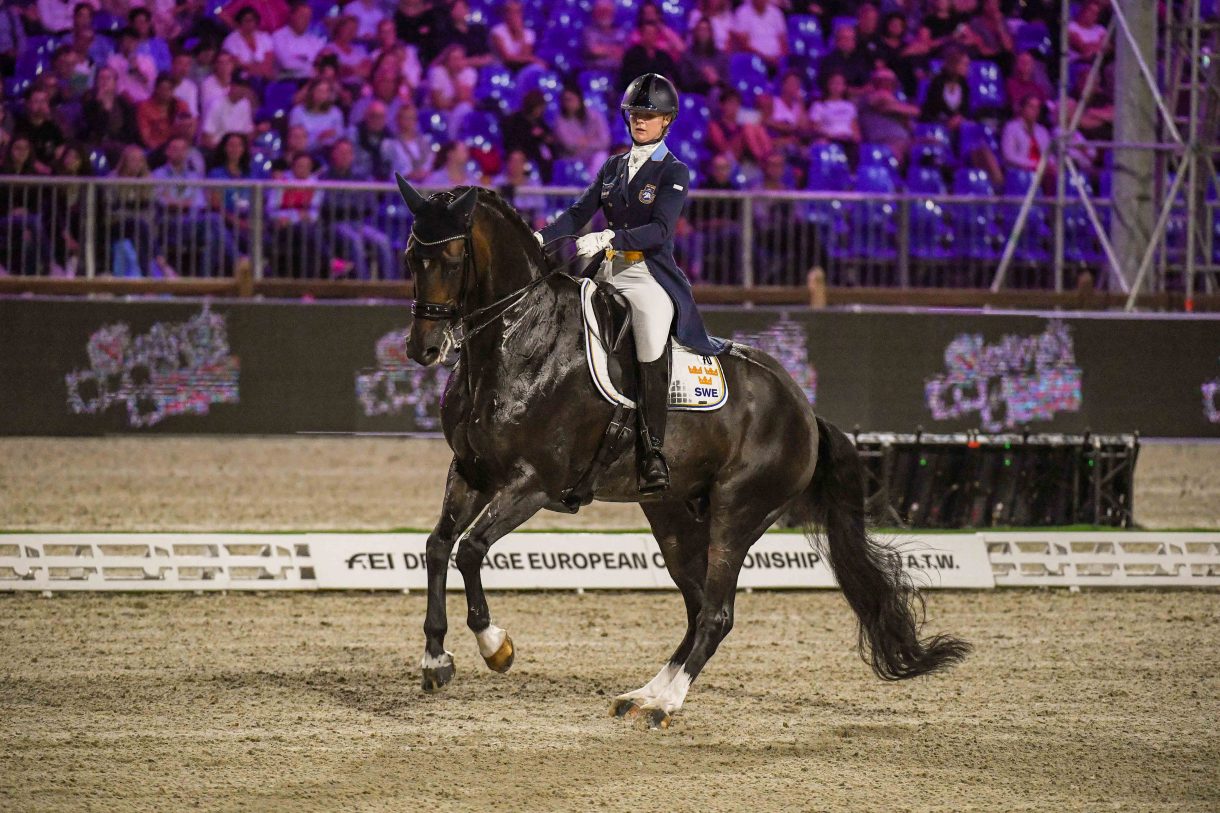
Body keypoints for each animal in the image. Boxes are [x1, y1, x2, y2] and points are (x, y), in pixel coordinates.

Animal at [395, 176, 969, 729]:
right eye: (409, 256)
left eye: (452, 258)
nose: (424, 348)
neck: (519, 340)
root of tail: (804, 411)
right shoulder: (470, 472)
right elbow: (438, 546)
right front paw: (436, 660)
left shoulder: (532, 482)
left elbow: (471, 549)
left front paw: (497, 647)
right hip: (672, 511)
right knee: (697, 607)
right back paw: (644, 695)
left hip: (738, 513)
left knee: (716, 614)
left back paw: (664, 706)